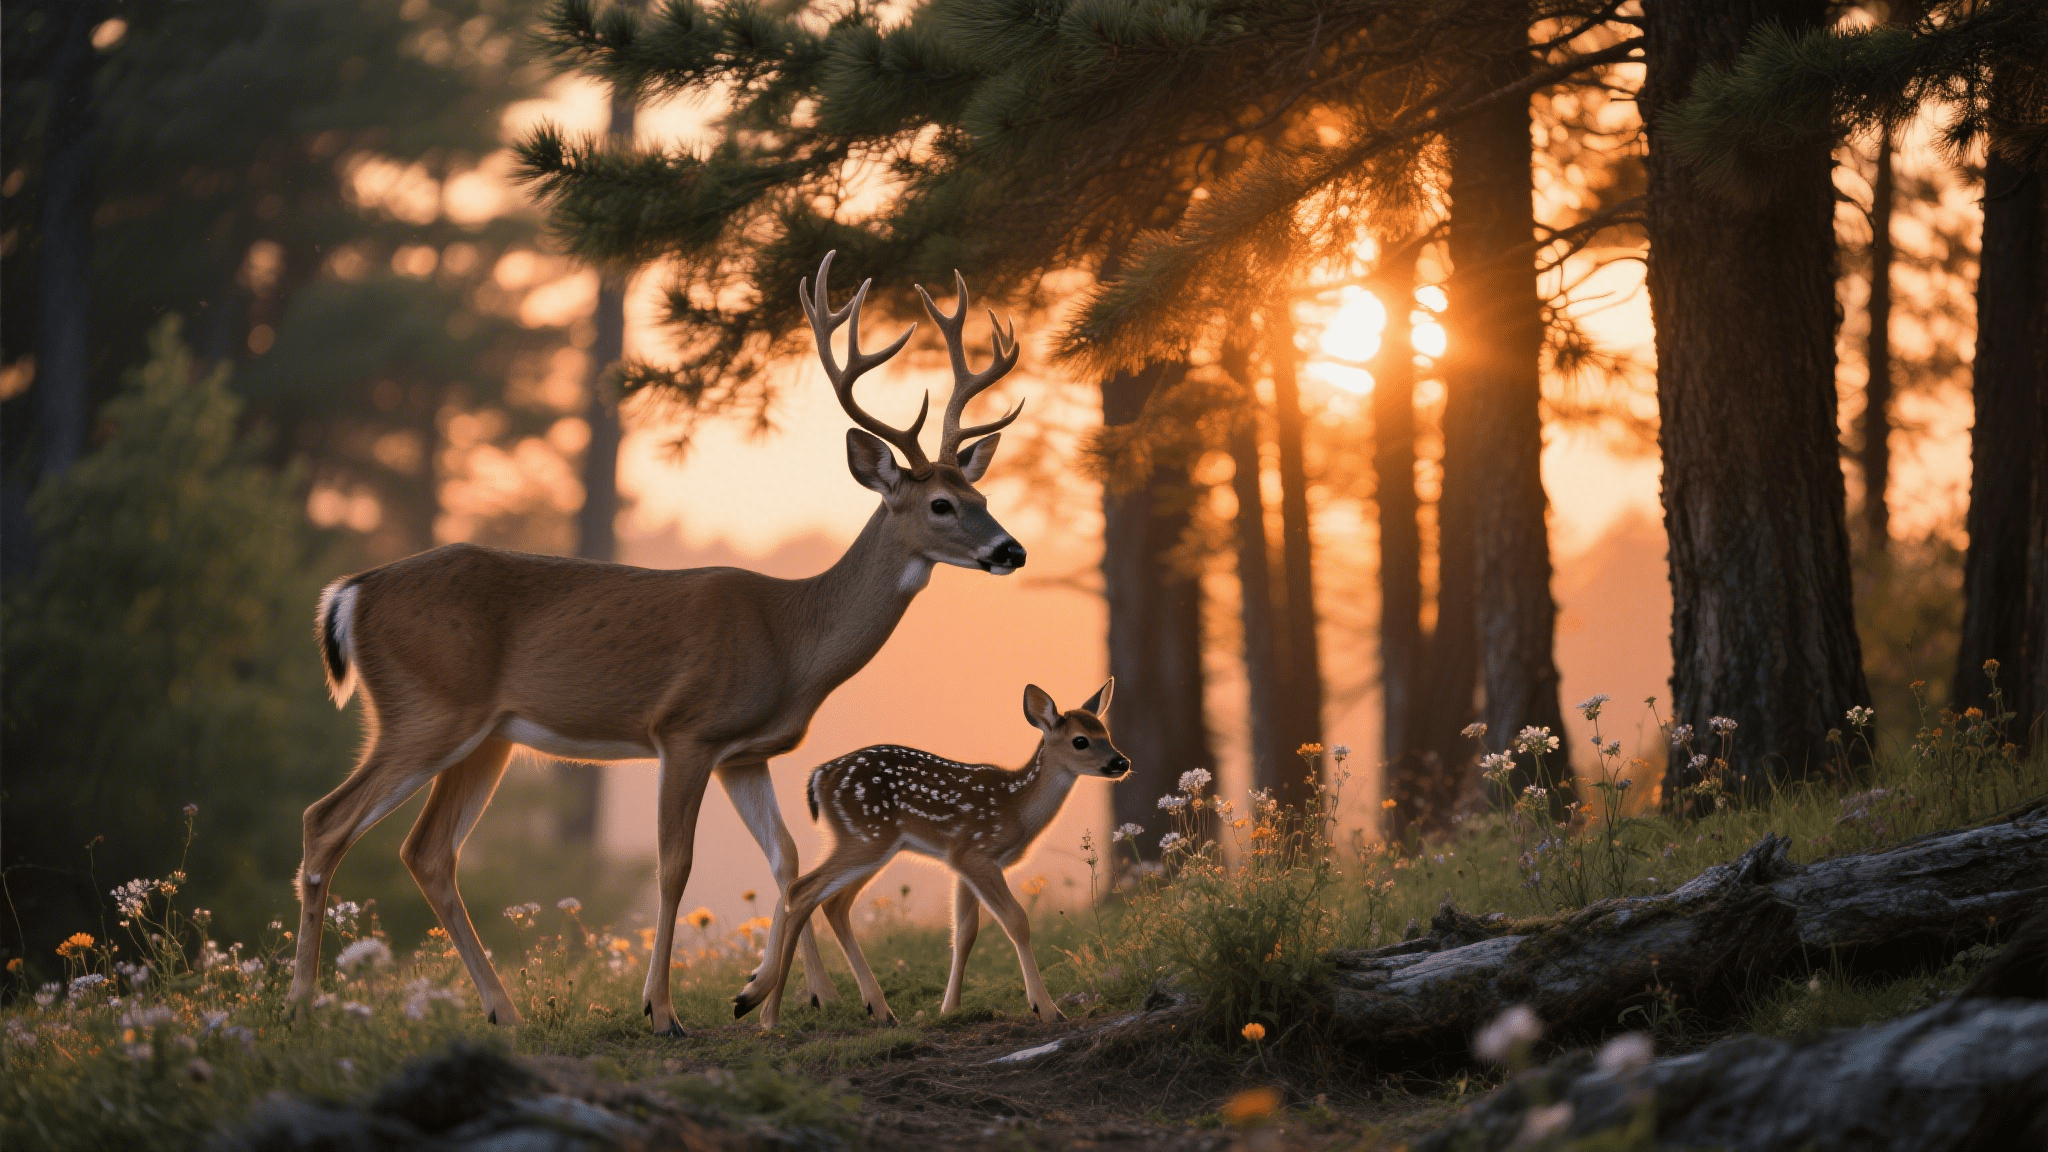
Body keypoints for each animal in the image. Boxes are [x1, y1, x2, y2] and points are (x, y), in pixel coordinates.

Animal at [289, 252, 1030, 1036]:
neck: (793, 637)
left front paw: (796, 994)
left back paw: (502, 1010)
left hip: (485, 737)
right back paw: (302, 1002)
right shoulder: (685, 730)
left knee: (427, 852)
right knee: (325, 820)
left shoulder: (747, 753)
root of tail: (351, 593)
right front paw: (664, 1009)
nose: (1011, 550)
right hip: (426, 709)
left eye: (982, 497)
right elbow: (675, 866)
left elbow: (786, 859)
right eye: (941, 505)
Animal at [732, 680, 1128, 1027]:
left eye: (1106, 734)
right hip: (867, 837)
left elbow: (965, 932)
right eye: (1080, 741)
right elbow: (1016, 921)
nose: (1121, 762)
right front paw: (1046, 1009)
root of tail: (817, 778)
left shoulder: (961, 862)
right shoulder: (976, 853)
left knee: (830, 902)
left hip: (867, 842)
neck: (1016, 808)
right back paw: (766, 1012)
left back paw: (874, 1010)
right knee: (802, 890)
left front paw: (948, 1009)